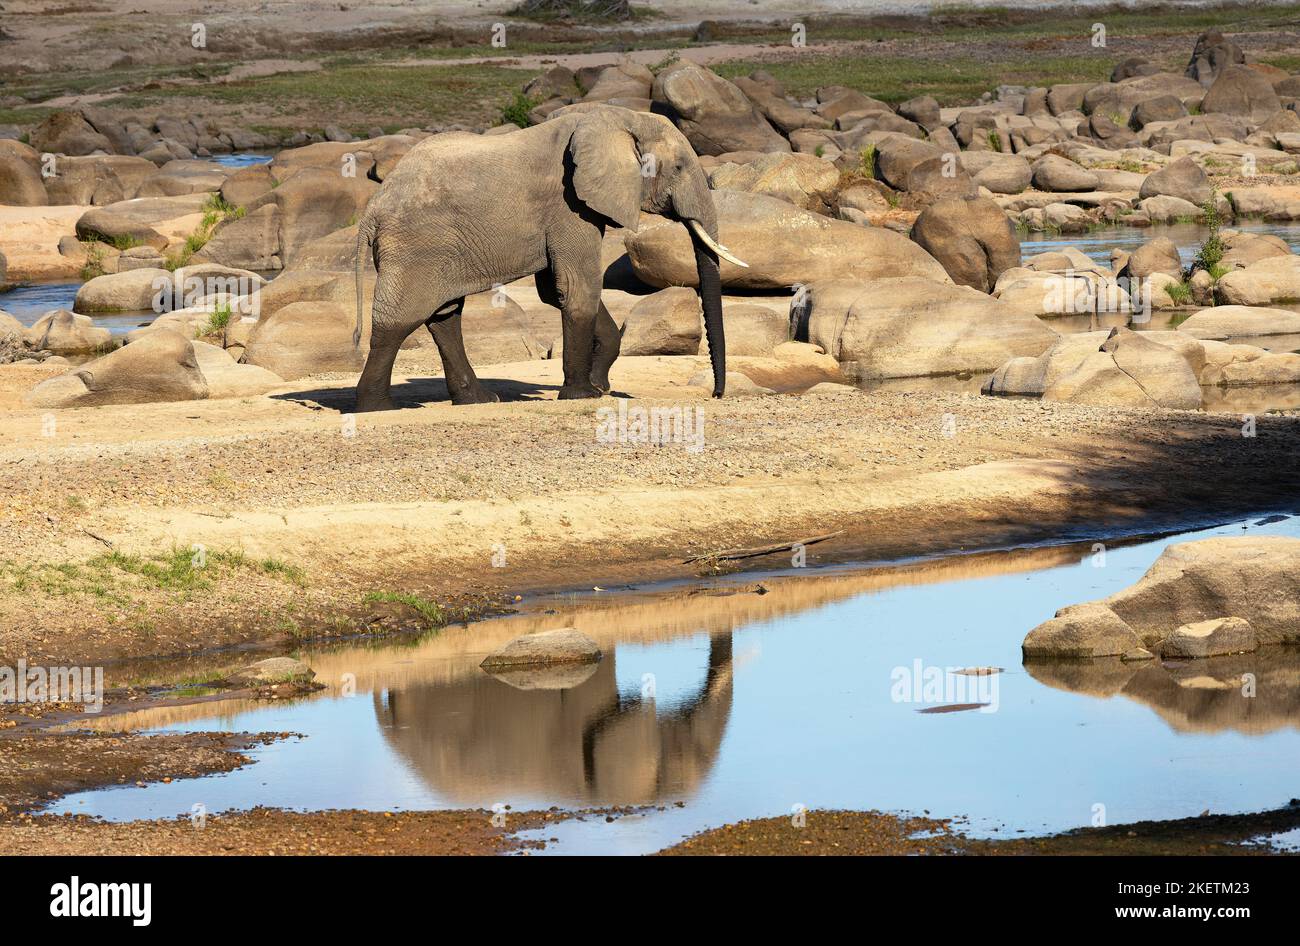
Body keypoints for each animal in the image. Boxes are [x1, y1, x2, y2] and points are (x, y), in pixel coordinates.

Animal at [351, 104, 748, 413]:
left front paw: (598, 385)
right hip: (416, 245)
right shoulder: (567, 205)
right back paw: (377, 407)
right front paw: (583, 395)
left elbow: (556, 290)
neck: (615, 118)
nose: (716, 395)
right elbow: (577, 286)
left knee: (444, 316)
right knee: (400, 319)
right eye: (679, 168)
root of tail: (372, 209)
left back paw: (479, 400)